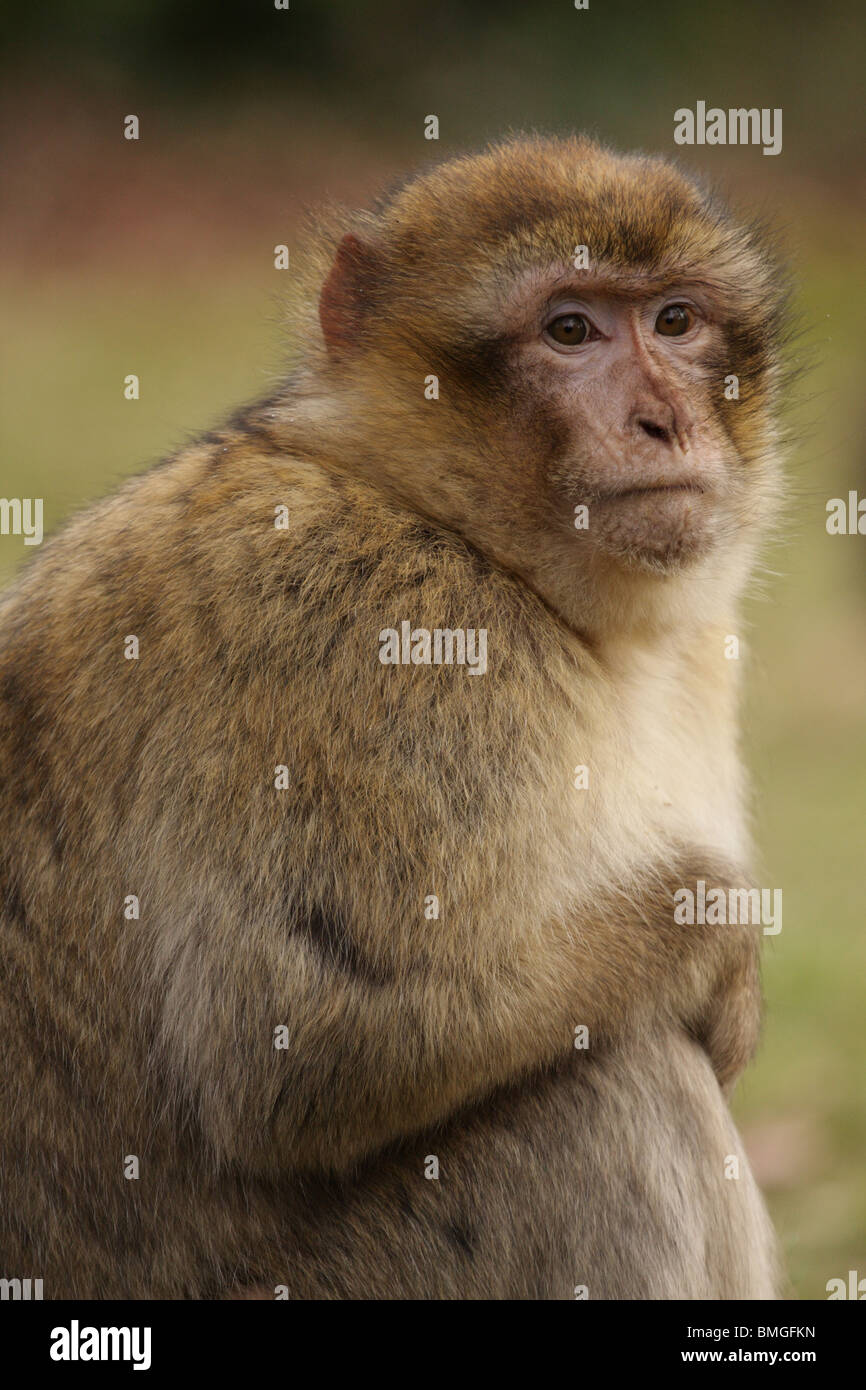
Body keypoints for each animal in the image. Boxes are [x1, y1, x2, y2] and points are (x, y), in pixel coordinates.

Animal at [0, 134, 787, 1300]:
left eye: (675, 319)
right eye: (569, 330)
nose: (664, 420)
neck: (442, 518)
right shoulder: (372, 633)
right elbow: (299, 1042)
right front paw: (716, 944)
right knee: (612, 1093)